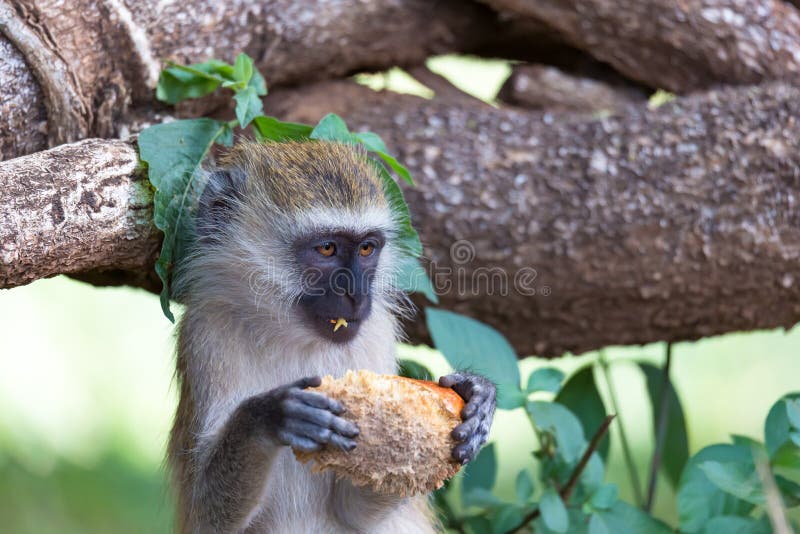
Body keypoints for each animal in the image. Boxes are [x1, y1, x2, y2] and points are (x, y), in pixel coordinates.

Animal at [168, 141, 496, 533]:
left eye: (367, 248)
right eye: (327, 248)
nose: (357, 294)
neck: (289, 336)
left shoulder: (377, 331)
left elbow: (357, 505)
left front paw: (475, 396)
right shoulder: (207, 330)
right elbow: (206, 518)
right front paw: (269, 415)